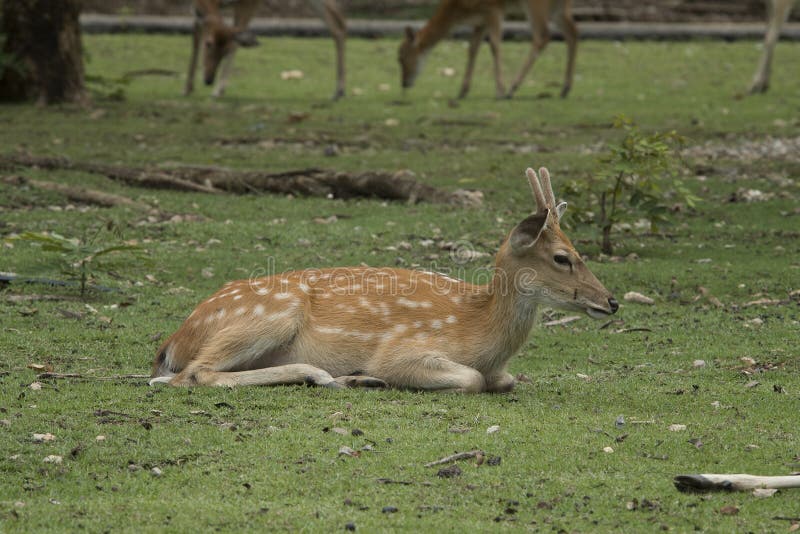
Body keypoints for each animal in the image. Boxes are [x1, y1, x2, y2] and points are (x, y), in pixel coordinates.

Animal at [149, 167, 618, 392]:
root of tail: (171, 341)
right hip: (270, 315)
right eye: (562, 257)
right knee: (194, 374)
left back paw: (354, 379)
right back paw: (323, 374)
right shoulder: (403, 347)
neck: (479, 332)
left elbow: (505, 379)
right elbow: (472, 380)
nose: (611, 301)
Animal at [185, 0, 346, 99]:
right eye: (208, 44)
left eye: (225, 51)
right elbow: (196, 37)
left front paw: (218, 90)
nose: (208, 80)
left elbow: (237, 38)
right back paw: (338, 92)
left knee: (339, 22)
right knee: (337, 24)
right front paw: (188, 88)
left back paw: (339, 90)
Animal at [398, 0, 577, 99]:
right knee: (572, 31)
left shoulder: (493, 9)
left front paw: (500, 91)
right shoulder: (480, 20)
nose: (404, 83)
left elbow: (495, 45)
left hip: (536, 3)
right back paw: (565, 89)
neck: (460, 11)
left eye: (401, 56)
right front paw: (462, 91)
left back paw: (512, 89)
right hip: (559, 6)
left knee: (543, 36)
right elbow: (472, 49)